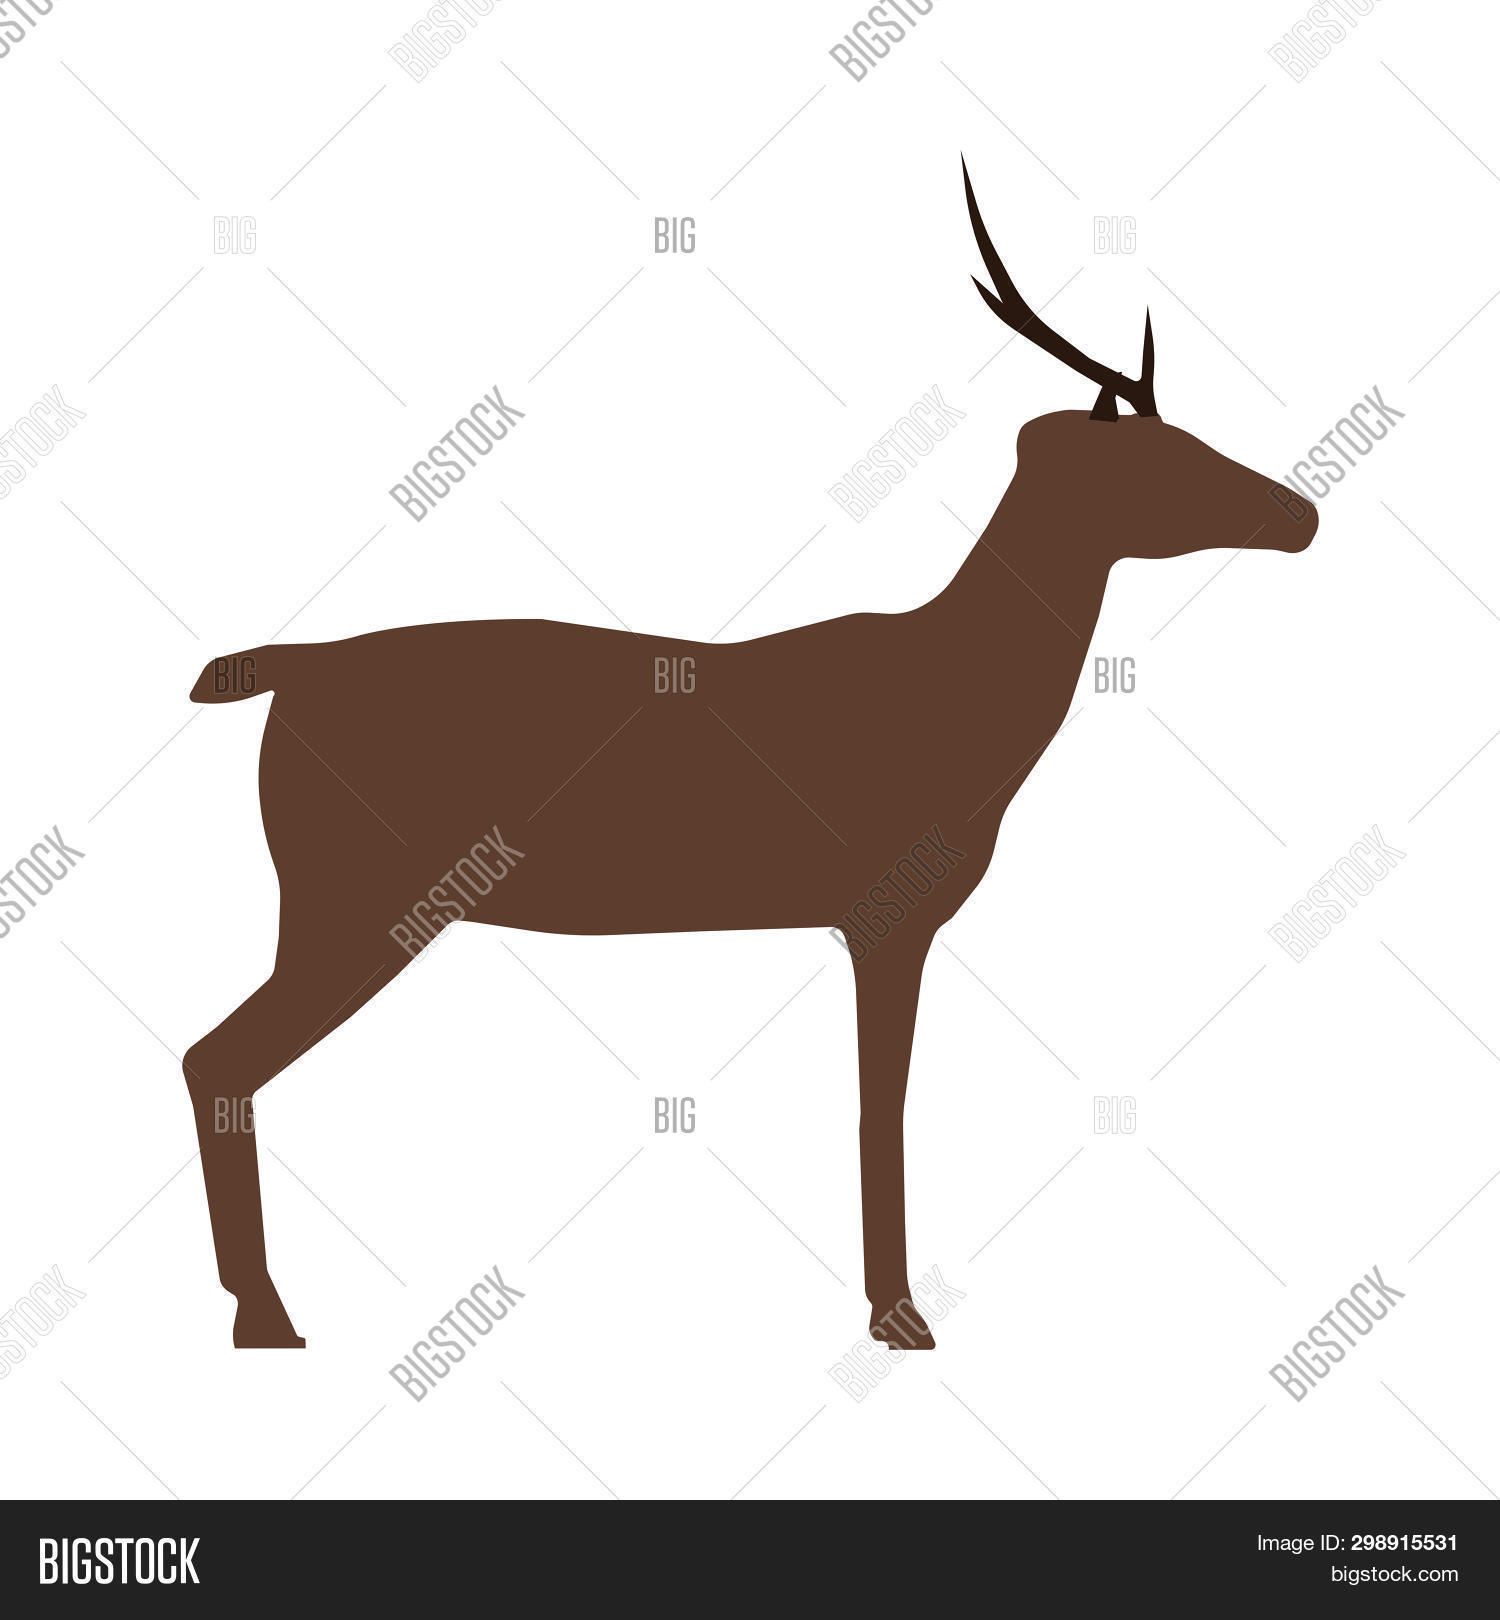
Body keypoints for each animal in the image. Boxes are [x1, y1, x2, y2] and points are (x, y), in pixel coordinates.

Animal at [183, 159, 1315, 1350]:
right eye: (1161, 457)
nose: (1302, 515)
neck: (957, 701)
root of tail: (284, 670)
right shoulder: (885, 912)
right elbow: (879, 1102)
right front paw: (900, 1317)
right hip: (354, 896)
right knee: (216, 1057)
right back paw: (266, 1316)